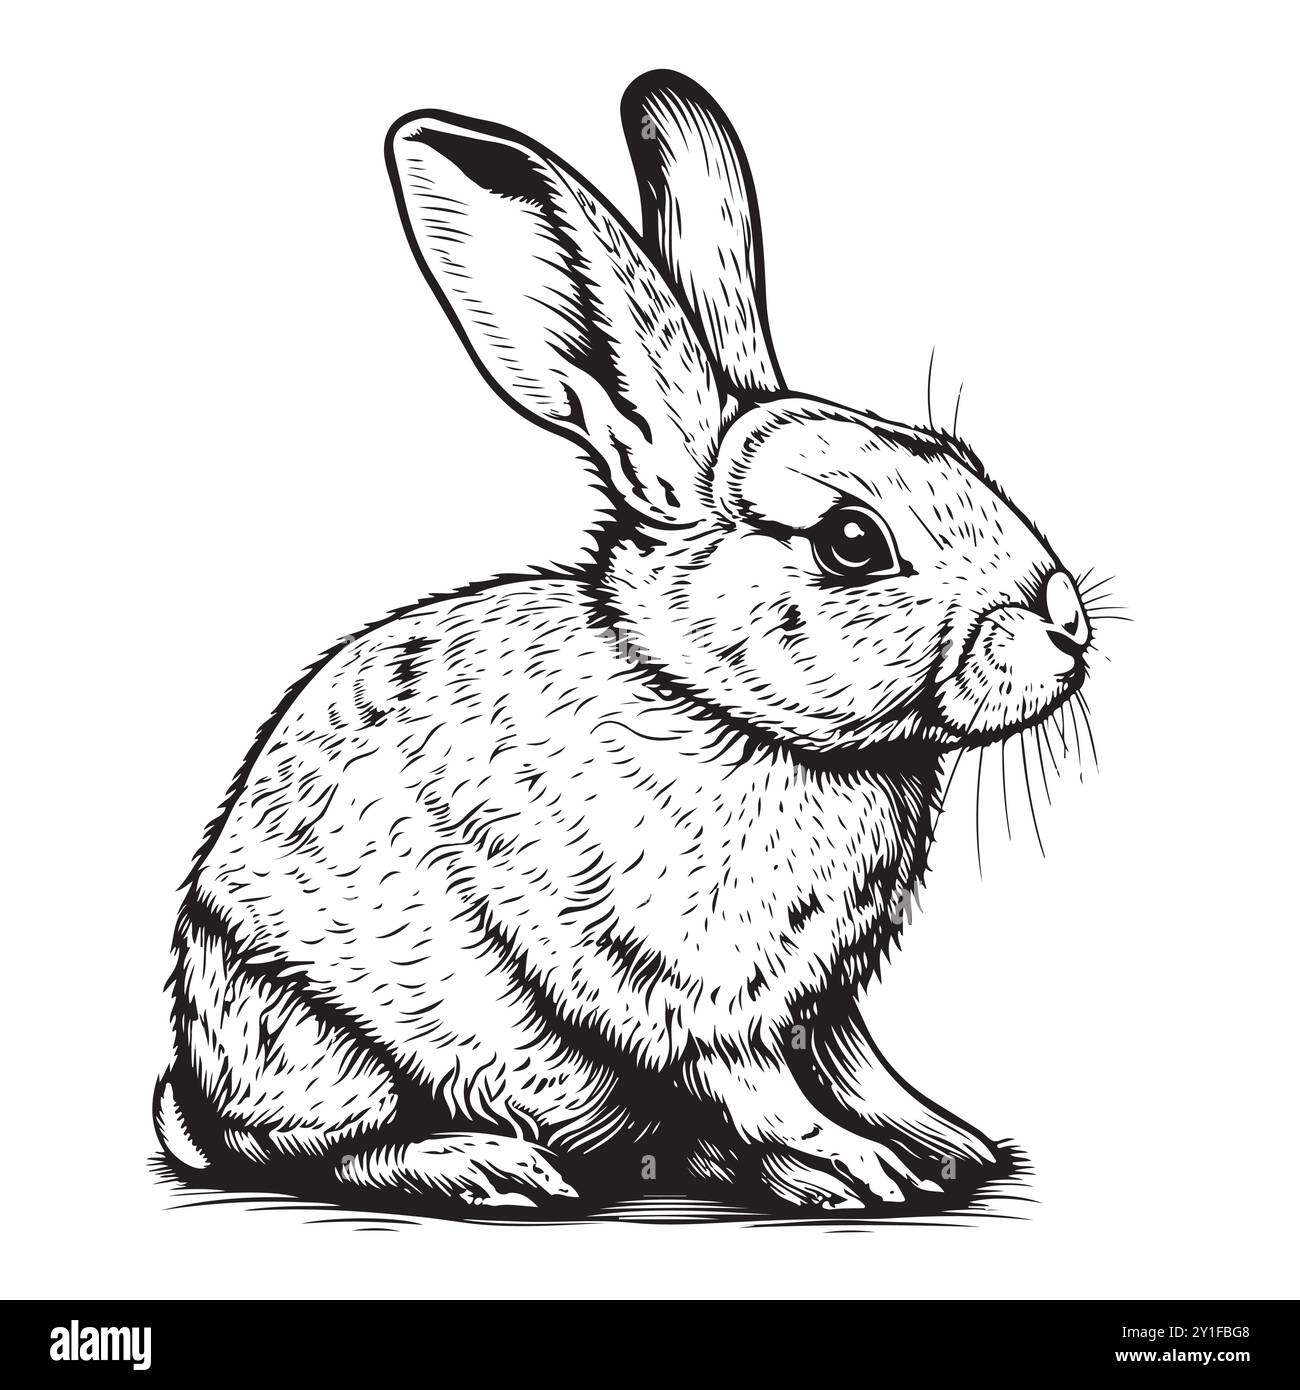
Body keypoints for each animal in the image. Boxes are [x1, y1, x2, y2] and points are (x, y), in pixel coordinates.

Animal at [155, 70, 1096, 1214]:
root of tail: (190, 1085)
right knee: (319, 1154)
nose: (1065, 621)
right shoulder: (690, 993)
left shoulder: (822, 1003)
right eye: (850, 540)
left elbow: (858, 1068)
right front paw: (864, 1170)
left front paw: (946, 1145)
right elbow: (765, 1087)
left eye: (959, 458)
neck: (718, 704)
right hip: (326, 1042)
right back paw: (497, 1167)